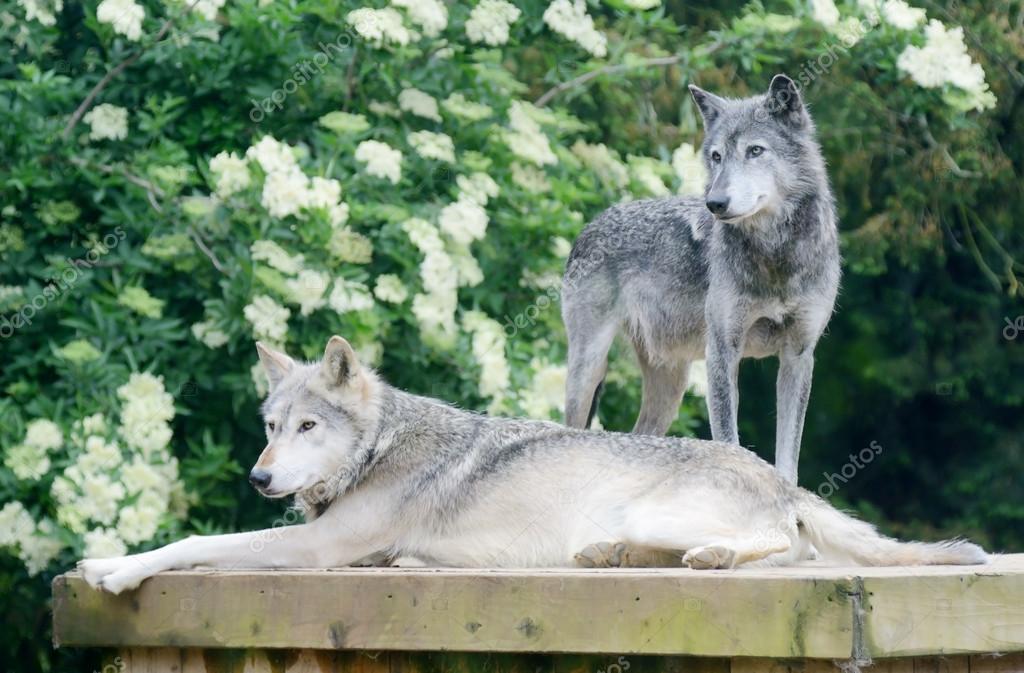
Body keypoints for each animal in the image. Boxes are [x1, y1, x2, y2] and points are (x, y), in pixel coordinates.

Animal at [78, 337, 986, 595]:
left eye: (309, 425)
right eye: (270, 427)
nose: (262, 478)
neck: (380, 446)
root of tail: (778, 472)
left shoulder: (318, 548)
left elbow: (198, 543)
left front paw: (116, 569)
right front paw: (105, 556)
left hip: (664, 511)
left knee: (784, 549)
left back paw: (707, 557)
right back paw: (613, 559)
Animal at [561, 74, 841, 484]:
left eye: (755, 151)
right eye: (716, 156)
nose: (715, 203)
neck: (776, 258)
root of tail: (590, 225)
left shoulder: (799, 354)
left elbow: (788, 459)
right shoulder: (723, 348)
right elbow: (728, 437)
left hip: (669, 385)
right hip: (589, 369)